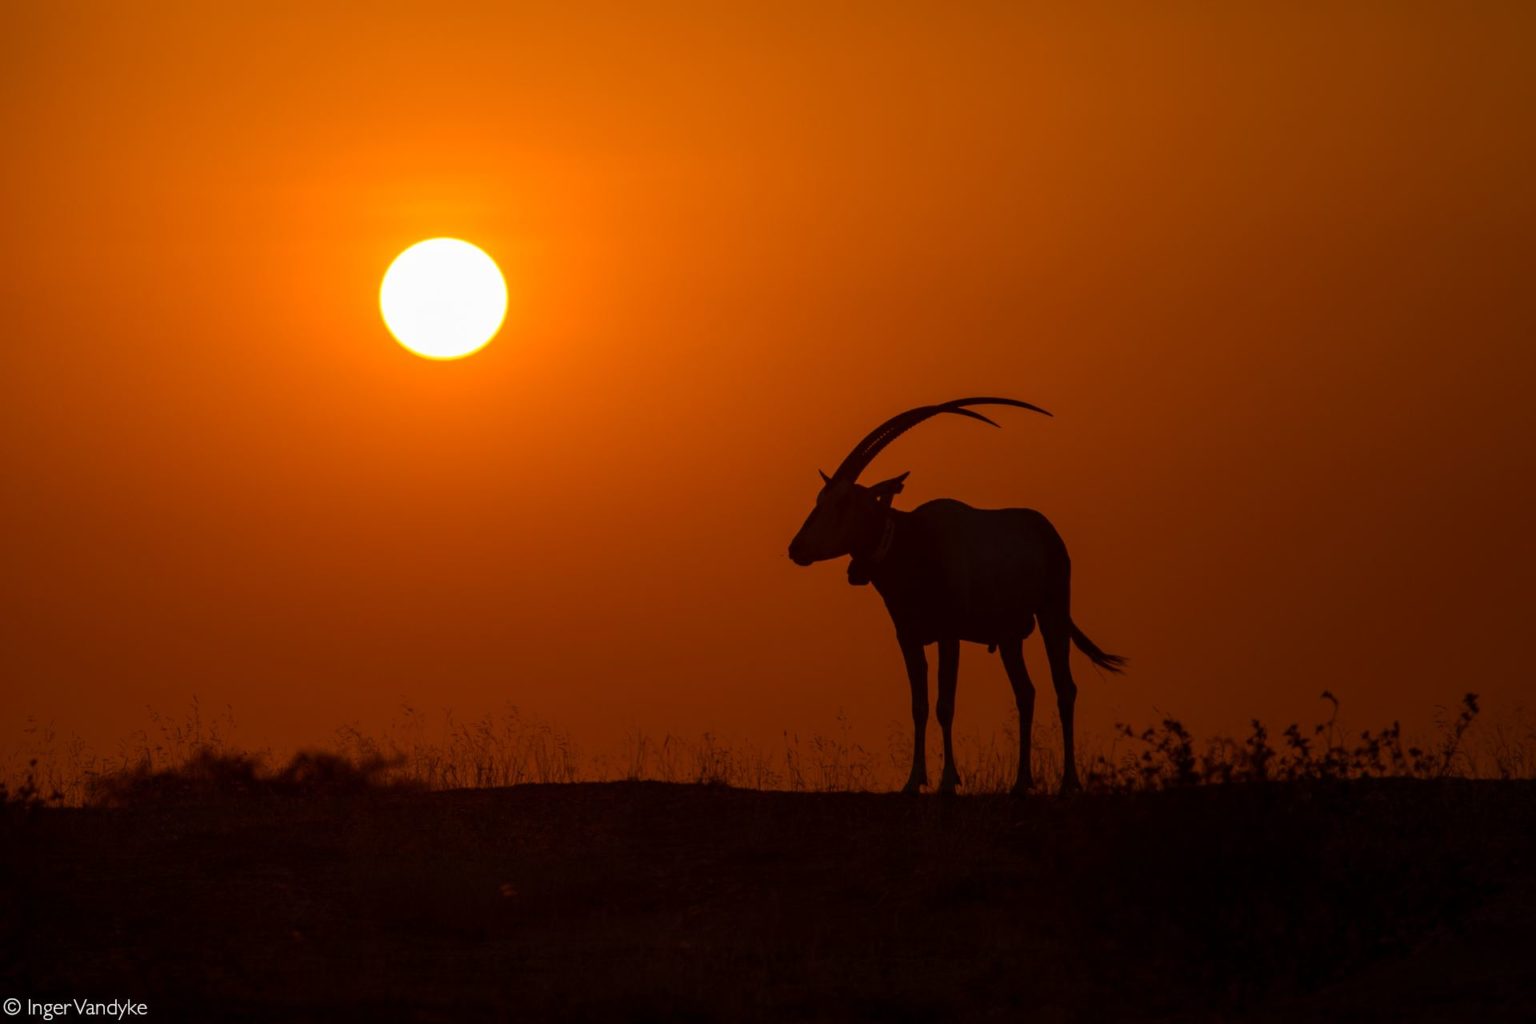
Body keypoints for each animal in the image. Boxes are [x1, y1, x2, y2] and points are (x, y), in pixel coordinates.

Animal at [787, 397, 1125, 795]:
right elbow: (919, 705)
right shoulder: (908, 638)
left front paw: (948, 779)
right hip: (1010, 639)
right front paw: (913, 780)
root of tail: (1047, 532)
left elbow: (944, 704)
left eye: (842, 503)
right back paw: (1020, 782)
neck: (913, 541)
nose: (796, 548)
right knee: (1026, 693)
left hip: (1052, 614)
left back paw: (1068, 781)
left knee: (1064, 688)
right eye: (820, 498)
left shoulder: (950, 636)